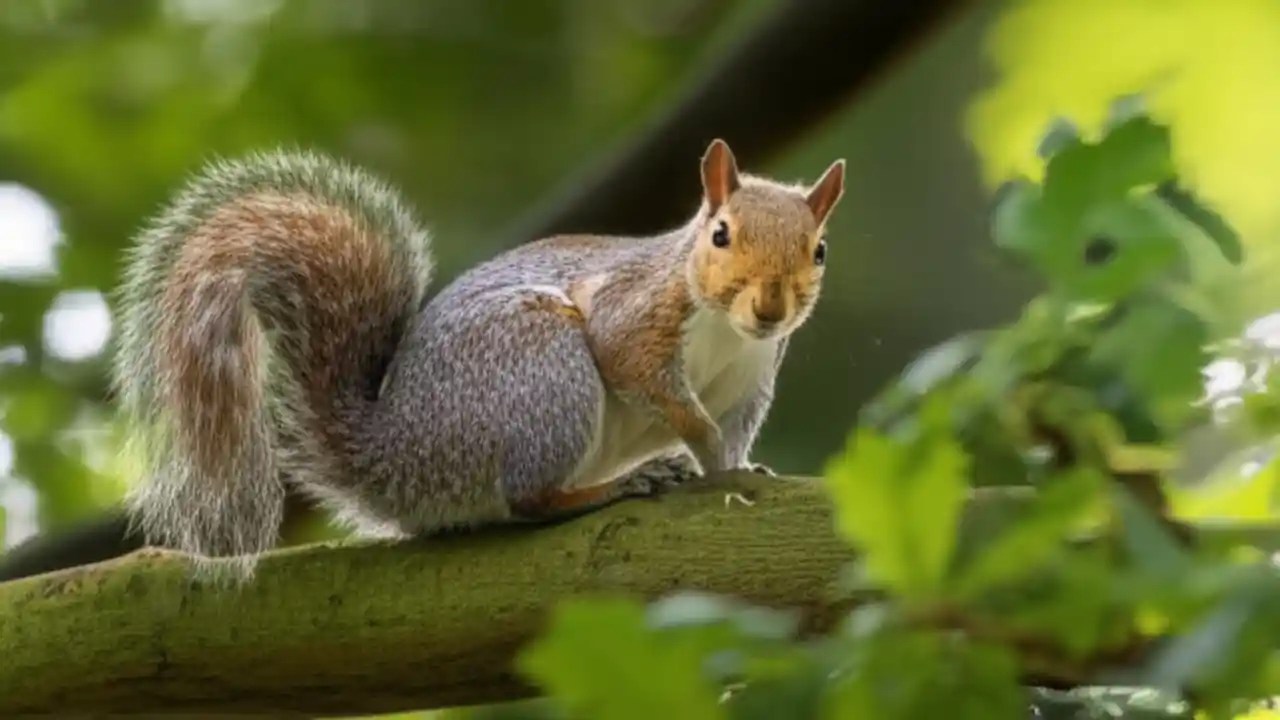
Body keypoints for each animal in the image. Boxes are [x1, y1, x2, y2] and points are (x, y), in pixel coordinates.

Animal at [12, 139, 845, 577]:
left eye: (819, 250)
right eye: (720, 235)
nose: (771, 310)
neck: (728, 334)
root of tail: (397, 458)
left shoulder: (749, 385)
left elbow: (731, 435)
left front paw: (735, 469)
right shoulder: (632, 319)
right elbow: (654, 384)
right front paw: (694, 445)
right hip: (544, 369)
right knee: (529, 499)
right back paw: (615, 485)